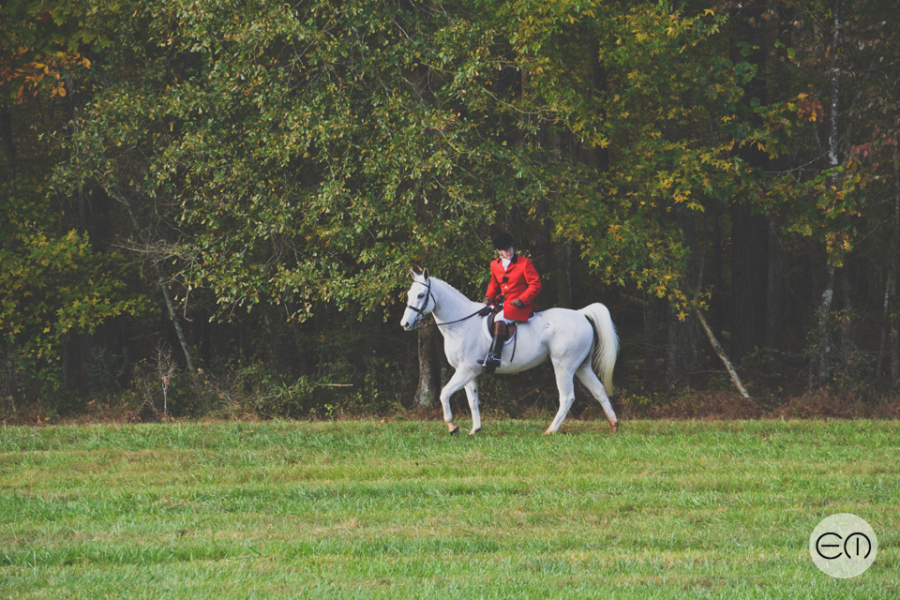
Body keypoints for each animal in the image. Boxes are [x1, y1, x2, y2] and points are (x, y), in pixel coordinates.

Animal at [400, 269, 619, 435]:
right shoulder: (470, 373)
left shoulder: (466, 370)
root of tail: (581, 314)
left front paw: (452, 426)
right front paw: (475, 429)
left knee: (567, 397)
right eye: (410, 294)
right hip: (582, 366)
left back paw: (550, 431)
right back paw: (614, 425)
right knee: (599, 391)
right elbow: (473, 401)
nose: (405, 324)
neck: (461, 323)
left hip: (563, 366)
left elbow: (444, 393)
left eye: (420, 295)